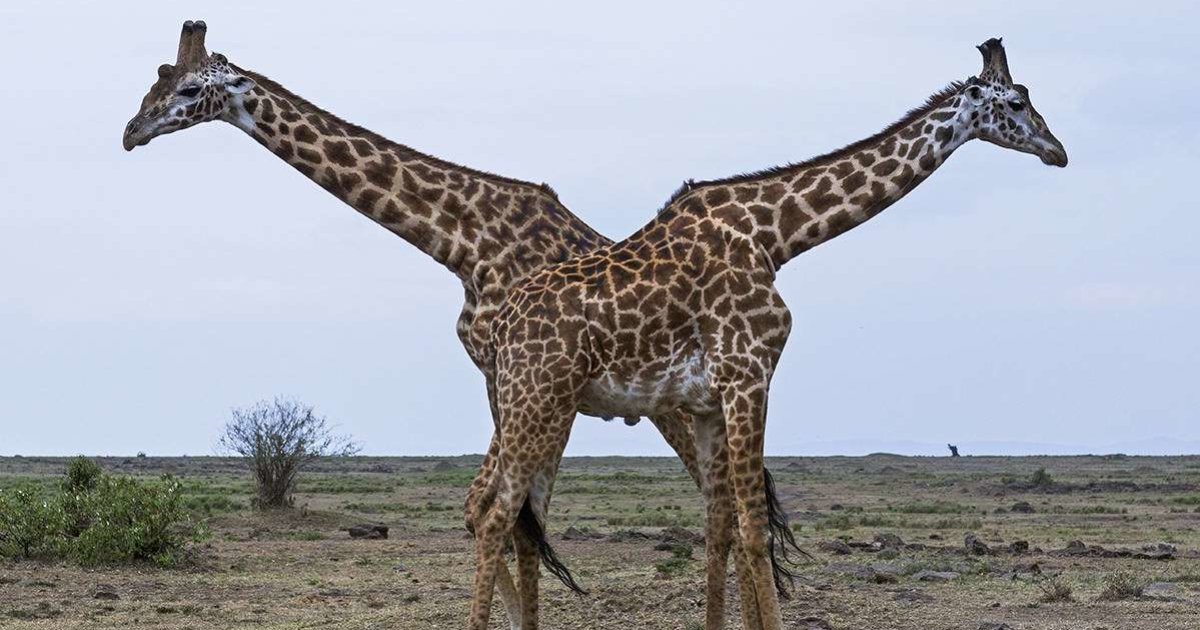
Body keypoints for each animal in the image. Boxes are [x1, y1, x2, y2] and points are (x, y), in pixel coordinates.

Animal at [121, 21, 796, 630]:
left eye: (188, 90)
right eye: (157, 78)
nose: (131, 132)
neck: (461, 238)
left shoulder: (528, 381)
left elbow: (507, 514)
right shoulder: (502, 377)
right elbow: (490, 511)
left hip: (681, 404)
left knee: (733, 506)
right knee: (727, 505)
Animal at [469, 38, 1067, 630]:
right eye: (1016, 102)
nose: (1057, 150)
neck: (774, 237)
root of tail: (498, 330)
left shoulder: (708, 402)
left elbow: (719, 527)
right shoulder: (749, 374)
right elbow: (754, 528)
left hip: (539, 408)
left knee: (519, 517)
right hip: (535, 401)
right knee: (495, 515)